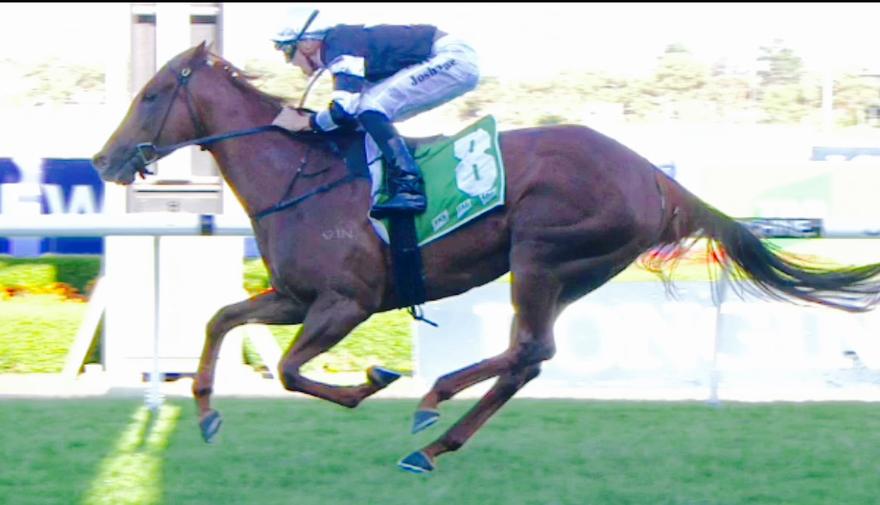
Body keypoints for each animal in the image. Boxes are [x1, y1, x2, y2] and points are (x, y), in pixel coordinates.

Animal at [92, 42, 880, 473]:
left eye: (153, 93)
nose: (103, 160)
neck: (299, 174)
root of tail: (658, 176)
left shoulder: (346, 303)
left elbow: (288, 370)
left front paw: (373, 379)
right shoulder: (294, 297)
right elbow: (221, 319)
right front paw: (204, 412)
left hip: (541, 252)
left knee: (528, 348)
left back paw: (431, 402)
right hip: (571, 271)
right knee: (530, 357)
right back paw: (434, 442)